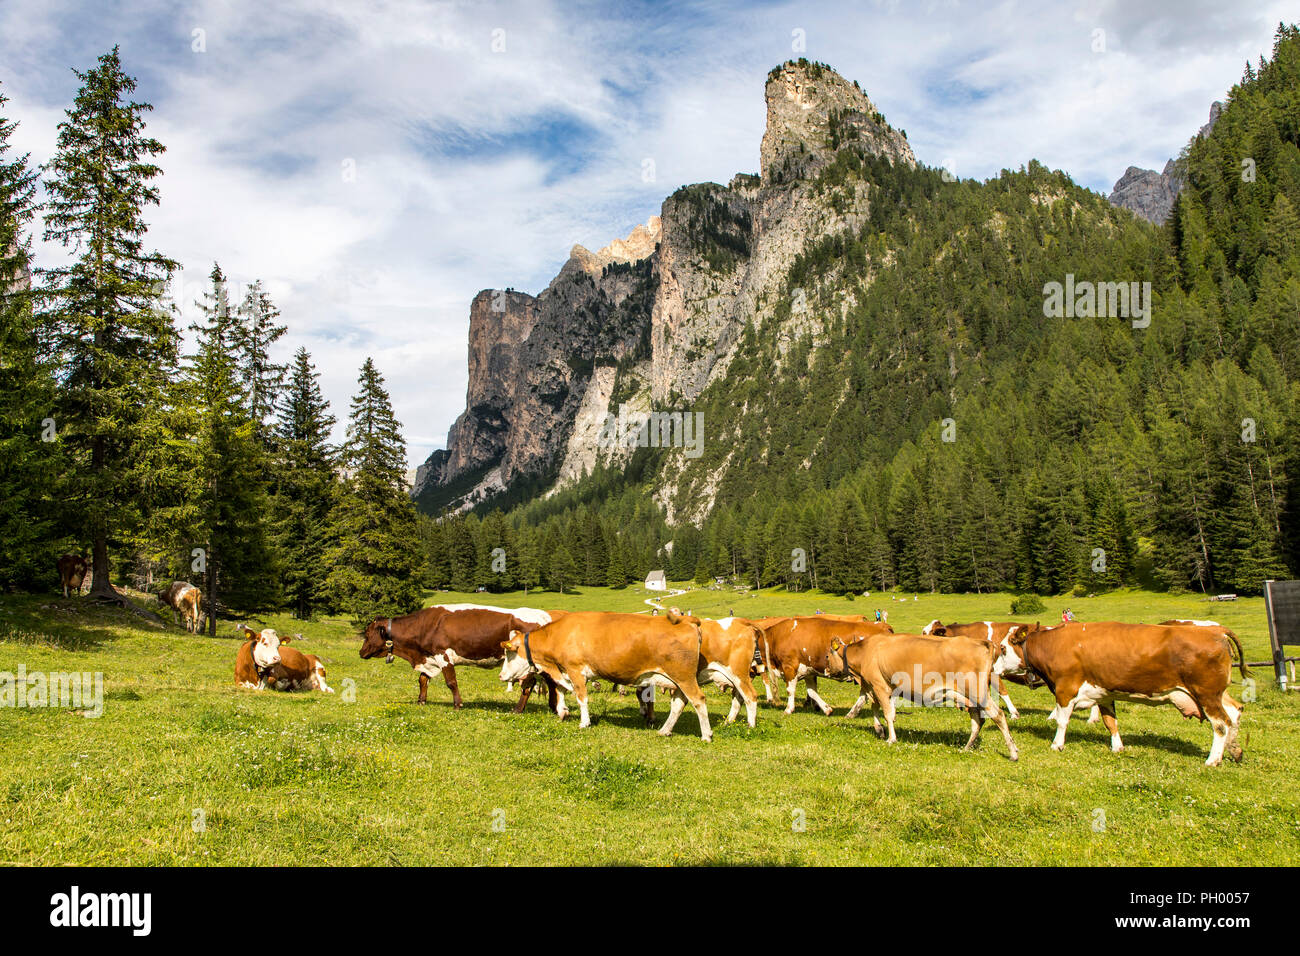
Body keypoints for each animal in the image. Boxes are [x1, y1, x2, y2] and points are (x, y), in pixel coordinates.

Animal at [360, 606, 545, 708]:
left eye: (368, 634)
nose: (361, 652)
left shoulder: (443, 655)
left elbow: (451, 682)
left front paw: (457, 704)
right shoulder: (430, 658)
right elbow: (422, 679)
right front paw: (421, 701)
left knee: (528, 685)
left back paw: (517, 709)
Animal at [498, 610, 713, 741]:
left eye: (509, 653)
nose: (501, 676)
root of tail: (686, 620)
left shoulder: (575, 670)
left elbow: (581, 698)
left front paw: (584, 722)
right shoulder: (565, 671)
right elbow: (560, 690)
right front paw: (562, 711)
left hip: (684, 677)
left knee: (698, 700)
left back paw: (706, 735)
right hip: (678, 680)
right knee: (679, 704)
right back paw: (665, 730)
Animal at [755, 616, 893, 715]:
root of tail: (884, 626)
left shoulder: (789, 667)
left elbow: (790, 690)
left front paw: (789, 709)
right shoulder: (808, 671)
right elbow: (812, 692)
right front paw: (826, 709)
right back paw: (852, 713)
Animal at [827, 632, 1018, 759]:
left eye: (828, 656)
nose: (827, 670)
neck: (865, 652)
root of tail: (982, 642)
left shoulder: (879, 685)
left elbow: (887, 712)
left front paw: (891, 738)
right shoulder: (878, 686)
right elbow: (879, 708)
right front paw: (879, 729)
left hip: (977, 692)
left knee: (998, 715)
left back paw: (1013, 752)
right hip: (967, 697)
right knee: (978, 721)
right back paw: (966, 747)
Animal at [994, 621, 1249, 766]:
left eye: (1004, 648)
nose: (993, 668)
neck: (1053, 644)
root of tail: (1216, 630)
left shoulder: (1065, 690)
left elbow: (1062, 720)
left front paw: (1057, 745)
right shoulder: (1104, 693)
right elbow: (1110, 722)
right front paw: (1117, 747)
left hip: (1207, 694)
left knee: (1221, 724)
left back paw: (1213, 760)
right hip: (1216, 694)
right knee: (1234, 712)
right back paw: (1234, 750)